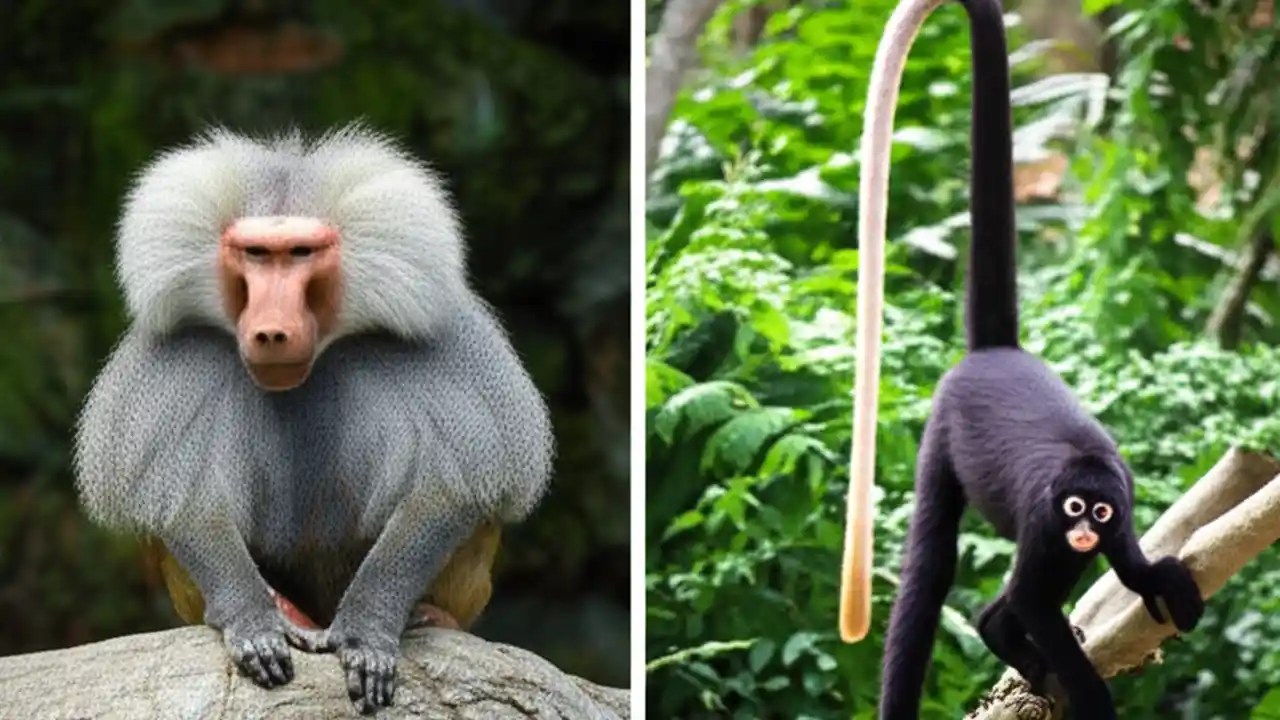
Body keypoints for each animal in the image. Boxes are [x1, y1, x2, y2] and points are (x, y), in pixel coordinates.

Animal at [73, 125, 554, 714]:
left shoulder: (454, 354)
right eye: (256, 254)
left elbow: (449, 491)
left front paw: (368, 633)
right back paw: (281, 609)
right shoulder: (173, 364)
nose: (271, 332)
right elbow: (181, 500)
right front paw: (255, 622)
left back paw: (426, 617)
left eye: (301, 253)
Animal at [835, 1, 1205, 718]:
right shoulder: (1041, 516)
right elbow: (1033, 601)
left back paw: (1003, 633)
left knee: (1030, 586)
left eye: (1099, 512)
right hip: (942, 434)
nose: (1083, 530)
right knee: (933, 570)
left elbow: (1125, 567)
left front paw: (1158, 578)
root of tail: (996, 352)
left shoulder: (1122, 503)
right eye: (1073, 508)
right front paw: (1089, 695)